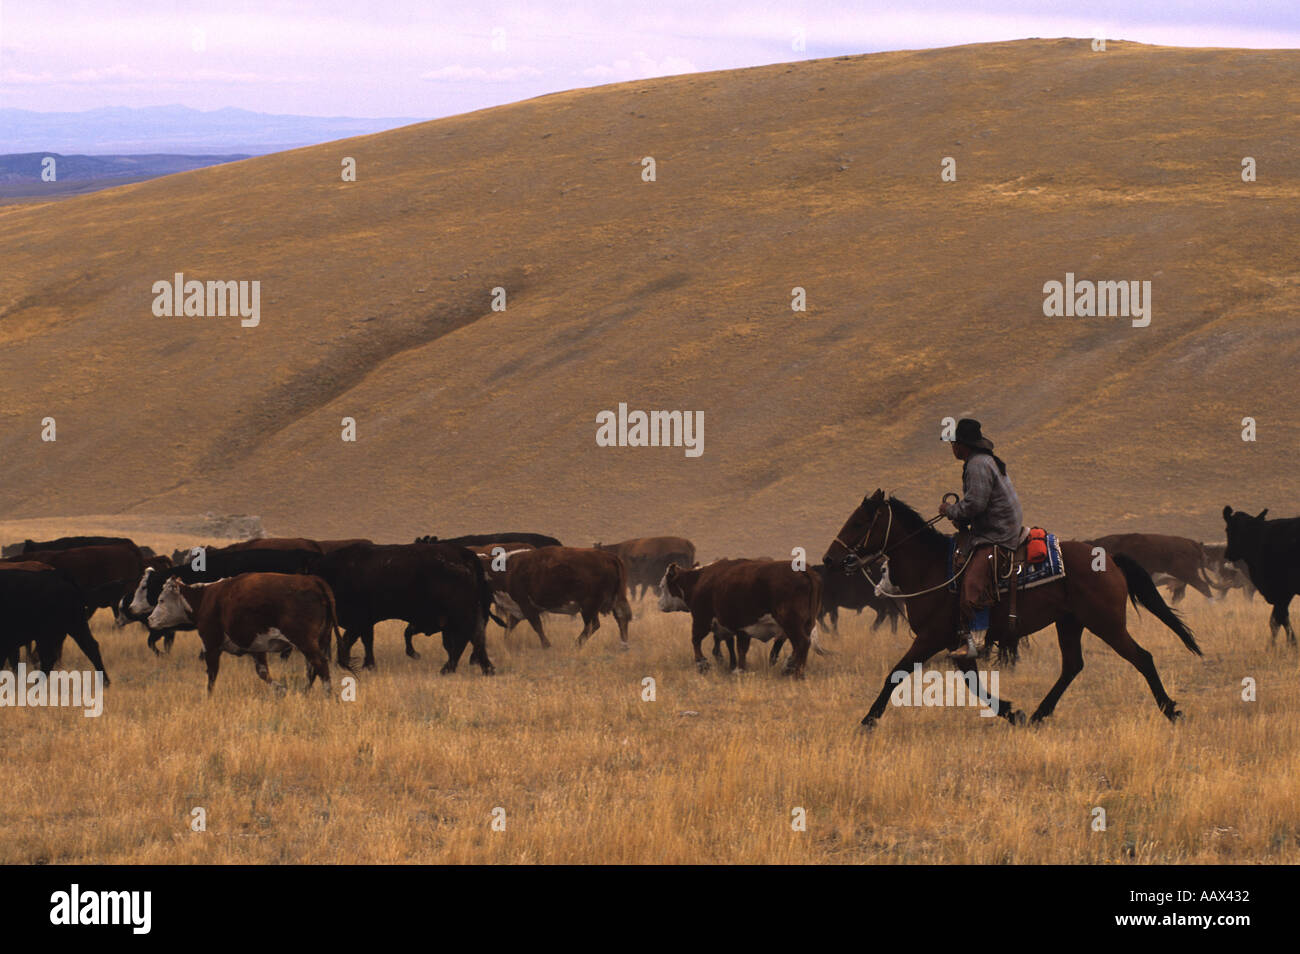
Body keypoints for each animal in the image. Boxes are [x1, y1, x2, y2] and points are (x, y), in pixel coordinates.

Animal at [146, 572, 347, 693]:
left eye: (161, 600)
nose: (150, 619)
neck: (205, 598)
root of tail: (314, 581)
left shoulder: (211, 645)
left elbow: (212, 675)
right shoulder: (257, 647)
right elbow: (263, 672)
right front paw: (281, 690)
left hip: (305, 641)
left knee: (320, 664)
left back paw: (328, 695)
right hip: (320, 639)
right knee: (313, 669)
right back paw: (306, 692)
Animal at [308, 542, 496, 674]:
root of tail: (464, 554)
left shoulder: (359, 621)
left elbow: (349, 641)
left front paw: (346, 663)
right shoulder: (366, 622)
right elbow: (367, 641)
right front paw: (368, 665)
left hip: (460, 615)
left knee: (470, 638)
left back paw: (459, 668)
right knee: (472, 639)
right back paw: (477, 668)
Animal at [481, 546, 631, 649]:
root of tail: (609, 556)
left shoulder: (526, 605)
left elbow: (537, 626)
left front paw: (547, 645)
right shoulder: (517, 609)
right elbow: (509, 628)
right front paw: (505, 644)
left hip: (589, 606)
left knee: (593, 625)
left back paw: (576, 644)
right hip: (616, 600)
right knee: (621, 618)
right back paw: (624, 644)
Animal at [658, 559, 824, 676]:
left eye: (662, 585)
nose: (659, 604)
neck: (699, 580)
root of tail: (804, 570)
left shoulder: (701, 619)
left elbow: (696, 640)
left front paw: (702, 665)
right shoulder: (739, 628)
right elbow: (737, 648)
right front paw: (736, 667)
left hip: (791, 622)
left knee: (801, 642)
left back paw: (797, 673)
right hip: (805, 624)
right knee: (800, 645)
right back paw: (790, 667)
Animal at [1222, 506, 1300, 647]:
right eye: (1229, 529)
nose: (1229, 554)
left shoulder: (1282, 591)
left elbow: (1277, 619)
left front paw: (1282, 645)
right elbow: (1279, 618)